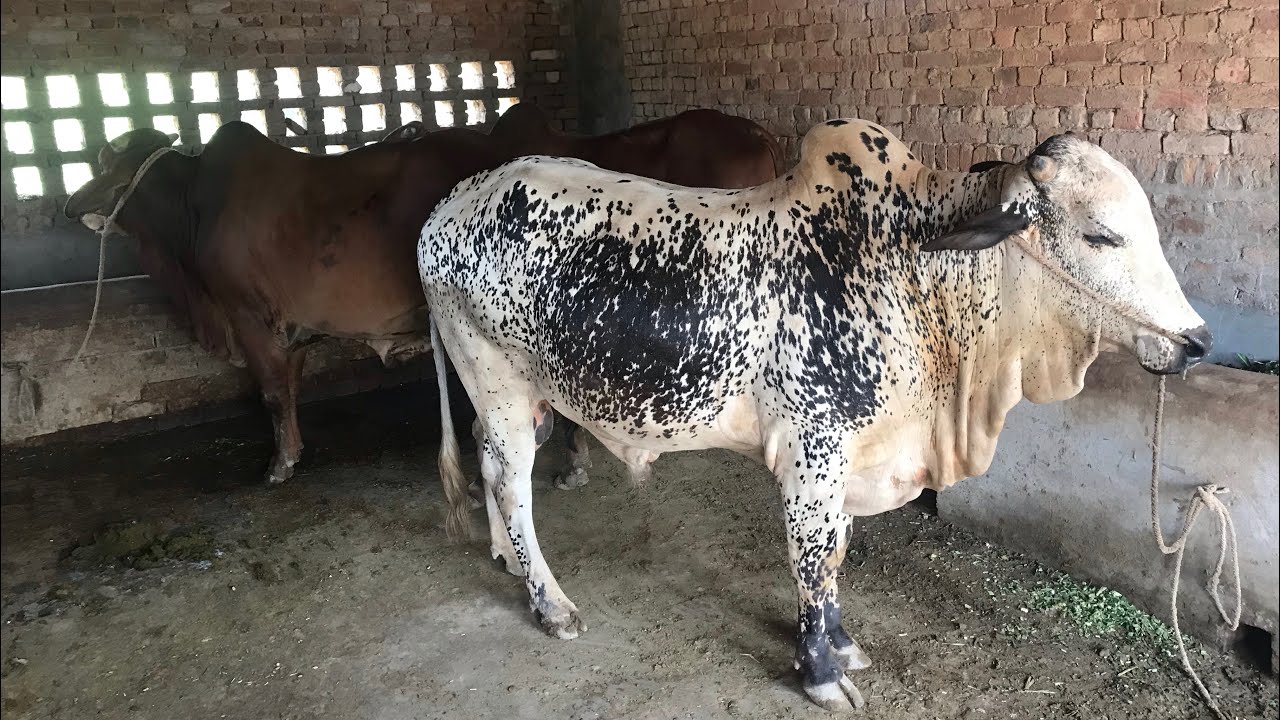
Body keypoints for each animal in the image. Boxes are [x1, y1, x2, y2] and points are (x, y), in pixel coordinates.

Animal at [63, 122, 512, 485]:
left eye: (105, 163)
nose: (71, 205)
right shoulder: (293, 326)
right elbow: (291, 387)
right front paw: (293, 452)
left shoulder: (248, 316)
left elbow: (273, 393)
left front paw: (278, 467)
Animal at [416, 119, 1210, 711]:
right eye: (1102, 235)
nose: (1197, 342)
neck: (919, 280)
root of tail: (449, 206)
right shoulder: (813, 453)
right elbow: (814, 558)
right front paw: (821, 672)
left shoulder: (857, 459)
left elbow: (838, 556)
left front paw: (842, 643)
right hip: (499, 384)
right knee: (511, 481)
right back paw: (548, 601)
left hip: (507, 396)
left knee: (488, 465)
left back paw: (506, 558)